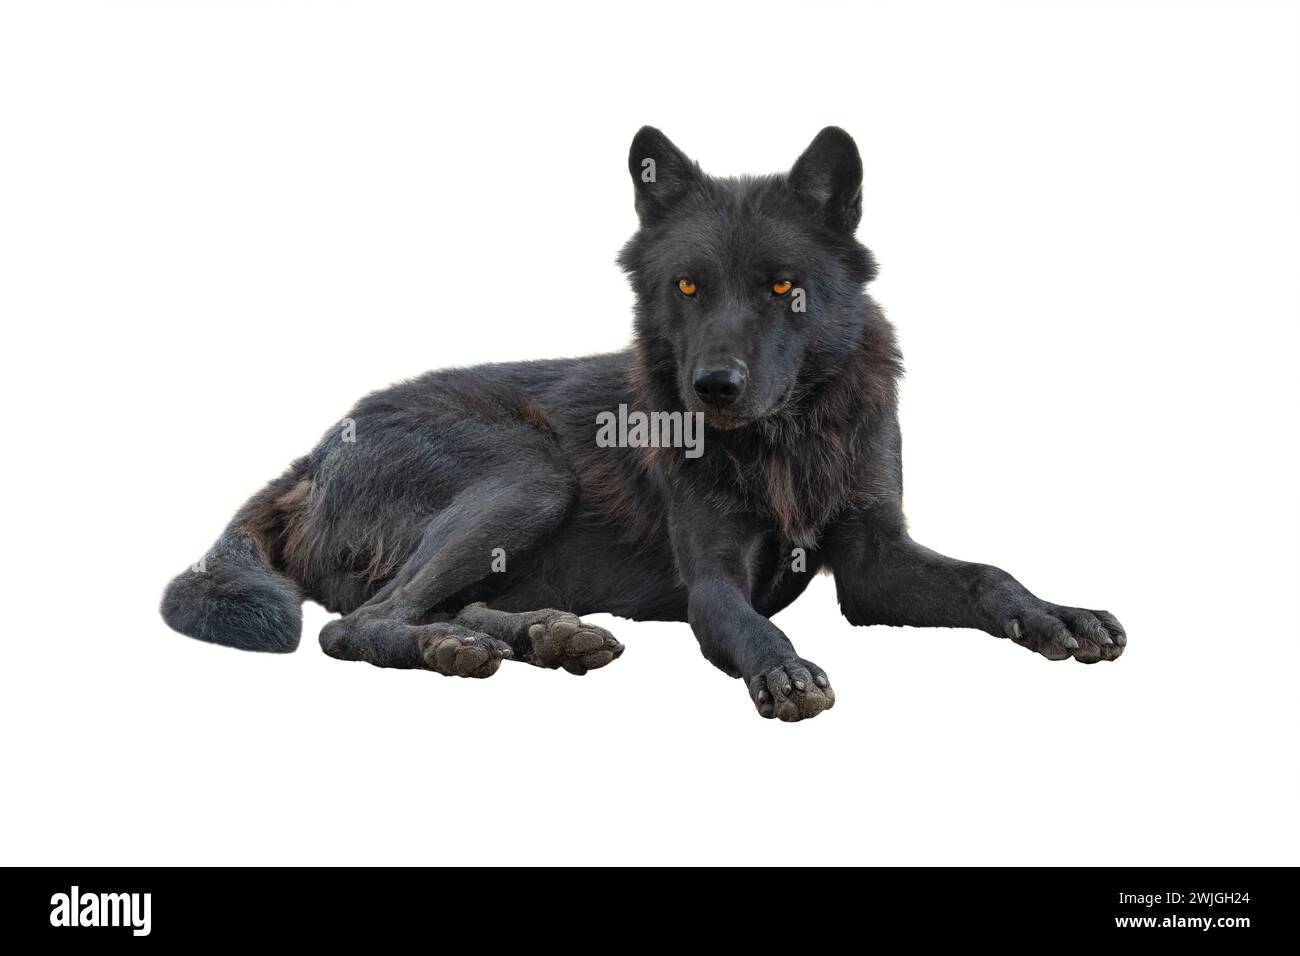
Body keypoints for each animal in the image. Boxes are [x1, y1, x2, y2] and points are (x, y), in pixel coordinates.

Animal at [161, 127, 1125, 721]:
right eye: (688, 286)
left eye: (784, 286)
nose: (714, 387)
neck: (784, 443)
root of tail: (313, 453)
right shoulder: (714, 580)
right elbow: (744, 623)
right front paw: (782, 670)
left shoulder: (873, 564)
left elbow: (988, 576)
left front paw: (1059, 615)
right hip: (528, 471)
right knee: (353, 624)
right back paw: (457, 647)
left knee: (424, 605)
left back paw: (545, 634)